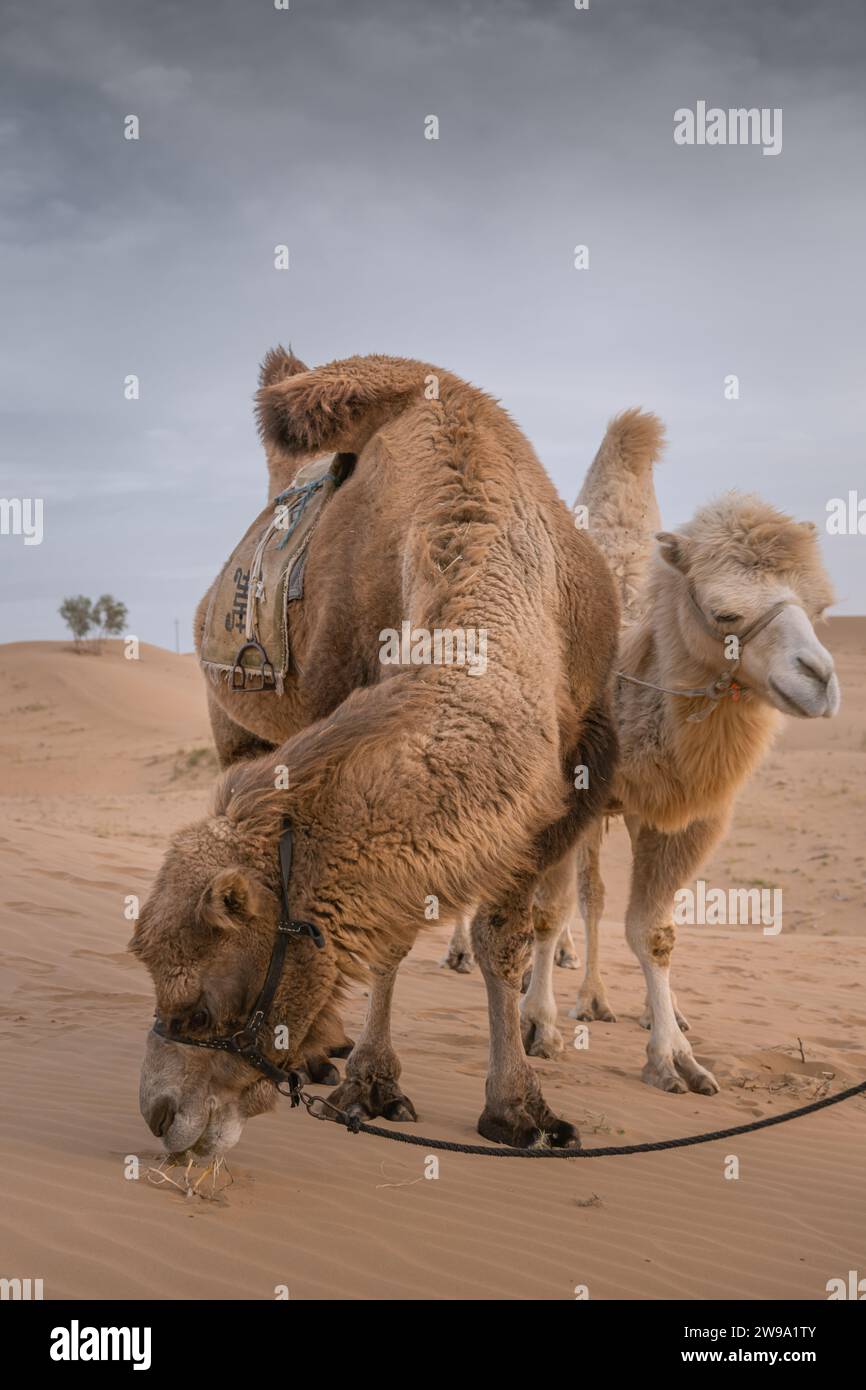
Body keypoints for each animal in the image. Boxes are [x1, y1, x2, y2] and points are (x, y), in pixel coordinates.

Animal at [130, 349, 620, 1157]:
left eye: (200, 1008)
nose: (161, 1114)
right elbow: (392, 930)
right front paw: (371, 1084)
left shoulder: (570, 771)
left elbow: (504, 938)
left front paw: (521, 1111)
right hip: (232, 720)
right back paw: (326, 1057)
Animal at [449, 409, 840, 1095]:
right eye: (725, 612)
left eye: (820, 607)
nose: (819, 678)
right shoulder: (568, 792)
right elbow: (548, 913)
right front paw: (539, 1025)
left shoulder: (687, 815)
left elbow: (652, 932)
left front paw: (675, 1055)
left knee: (593, 896)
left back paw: (614, 1002)